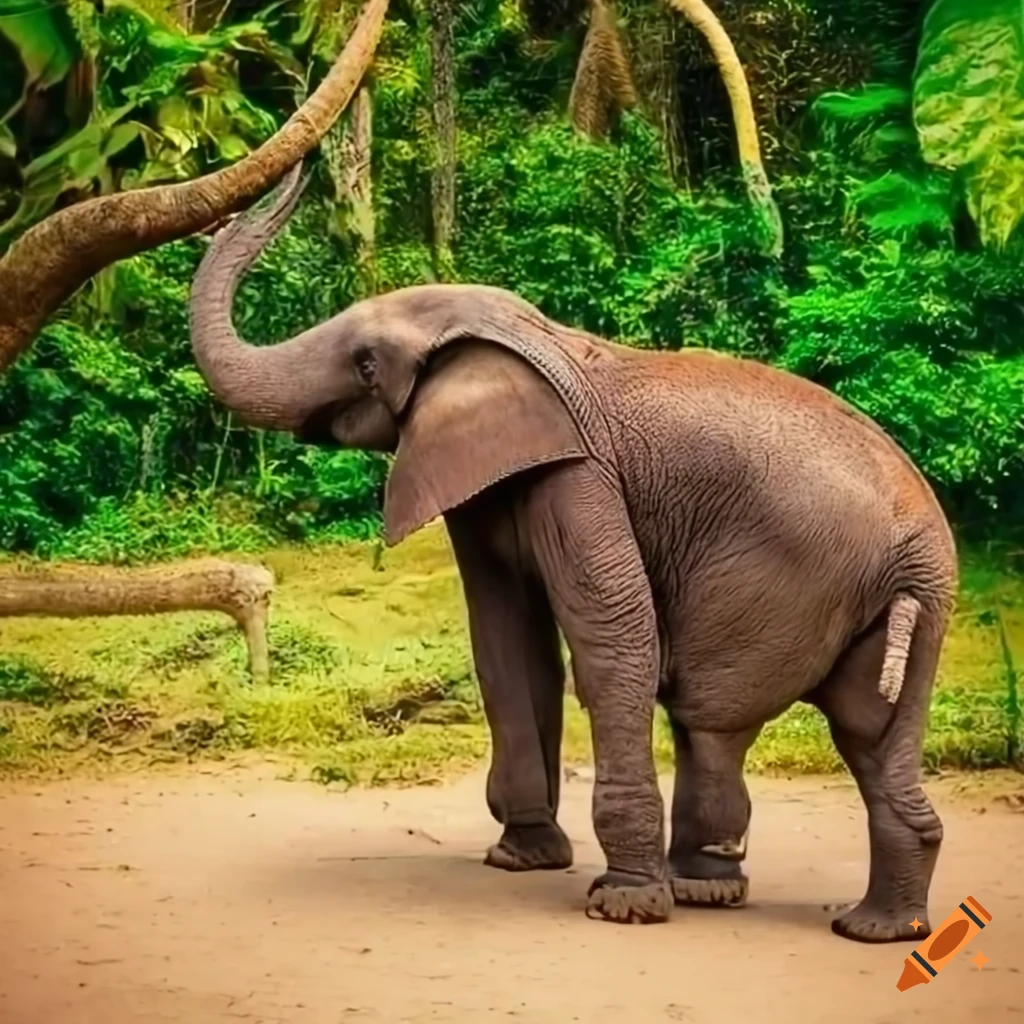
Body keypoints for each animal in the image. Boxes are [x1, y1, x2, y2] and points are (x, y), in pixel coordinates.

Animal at [187, 163, 958, 942]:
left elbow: (614, 640)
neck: (534, 337)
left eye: (367, 363)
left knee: (714, 712)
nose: (299, 171)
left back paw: (711, 896)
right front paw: (522, 858)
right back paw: (861, 925)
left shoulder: (579, 475)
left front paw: (621, 904)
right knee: (862, 734)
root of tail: (922, 542)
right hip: (904, 607)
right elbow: (507, 638)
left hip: (779, 583)